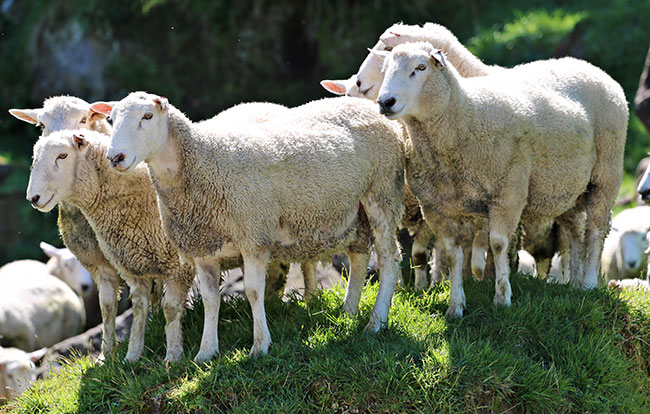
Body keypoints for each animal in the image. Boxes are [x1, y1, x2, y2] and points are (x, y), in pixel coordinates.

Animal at [101, 92, 404, 361]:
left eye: (147, 116)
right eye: (110, 120)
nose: (115, 157)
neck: (205, 161)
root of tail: (367, 106)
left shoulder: (253, 235)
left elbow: (253, 292)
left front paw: (260, 346)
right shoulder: (204, 248)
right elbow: (211, 300)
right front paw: (206, 352)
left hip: (383, 190)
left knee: (389, 258)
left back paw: (376, 322)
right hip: (355, 208)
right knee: (359, 256)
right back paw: (348, 312)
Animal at [376, 42, 627, 318]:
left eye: (420, 67)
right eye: (385, 69)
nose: (385, 102)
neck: (464, 115)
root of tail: (589, 66)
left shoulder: (507, 191)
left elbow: (497, 245)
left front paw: (502, 298)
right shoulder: (436, 208)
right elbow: (453, 255)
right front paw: (456, 306)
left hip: (606, 173)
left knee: (596, 229)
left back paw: (590, 283)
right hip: (565, 190)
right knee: (575, 232)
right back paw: (575, 284)